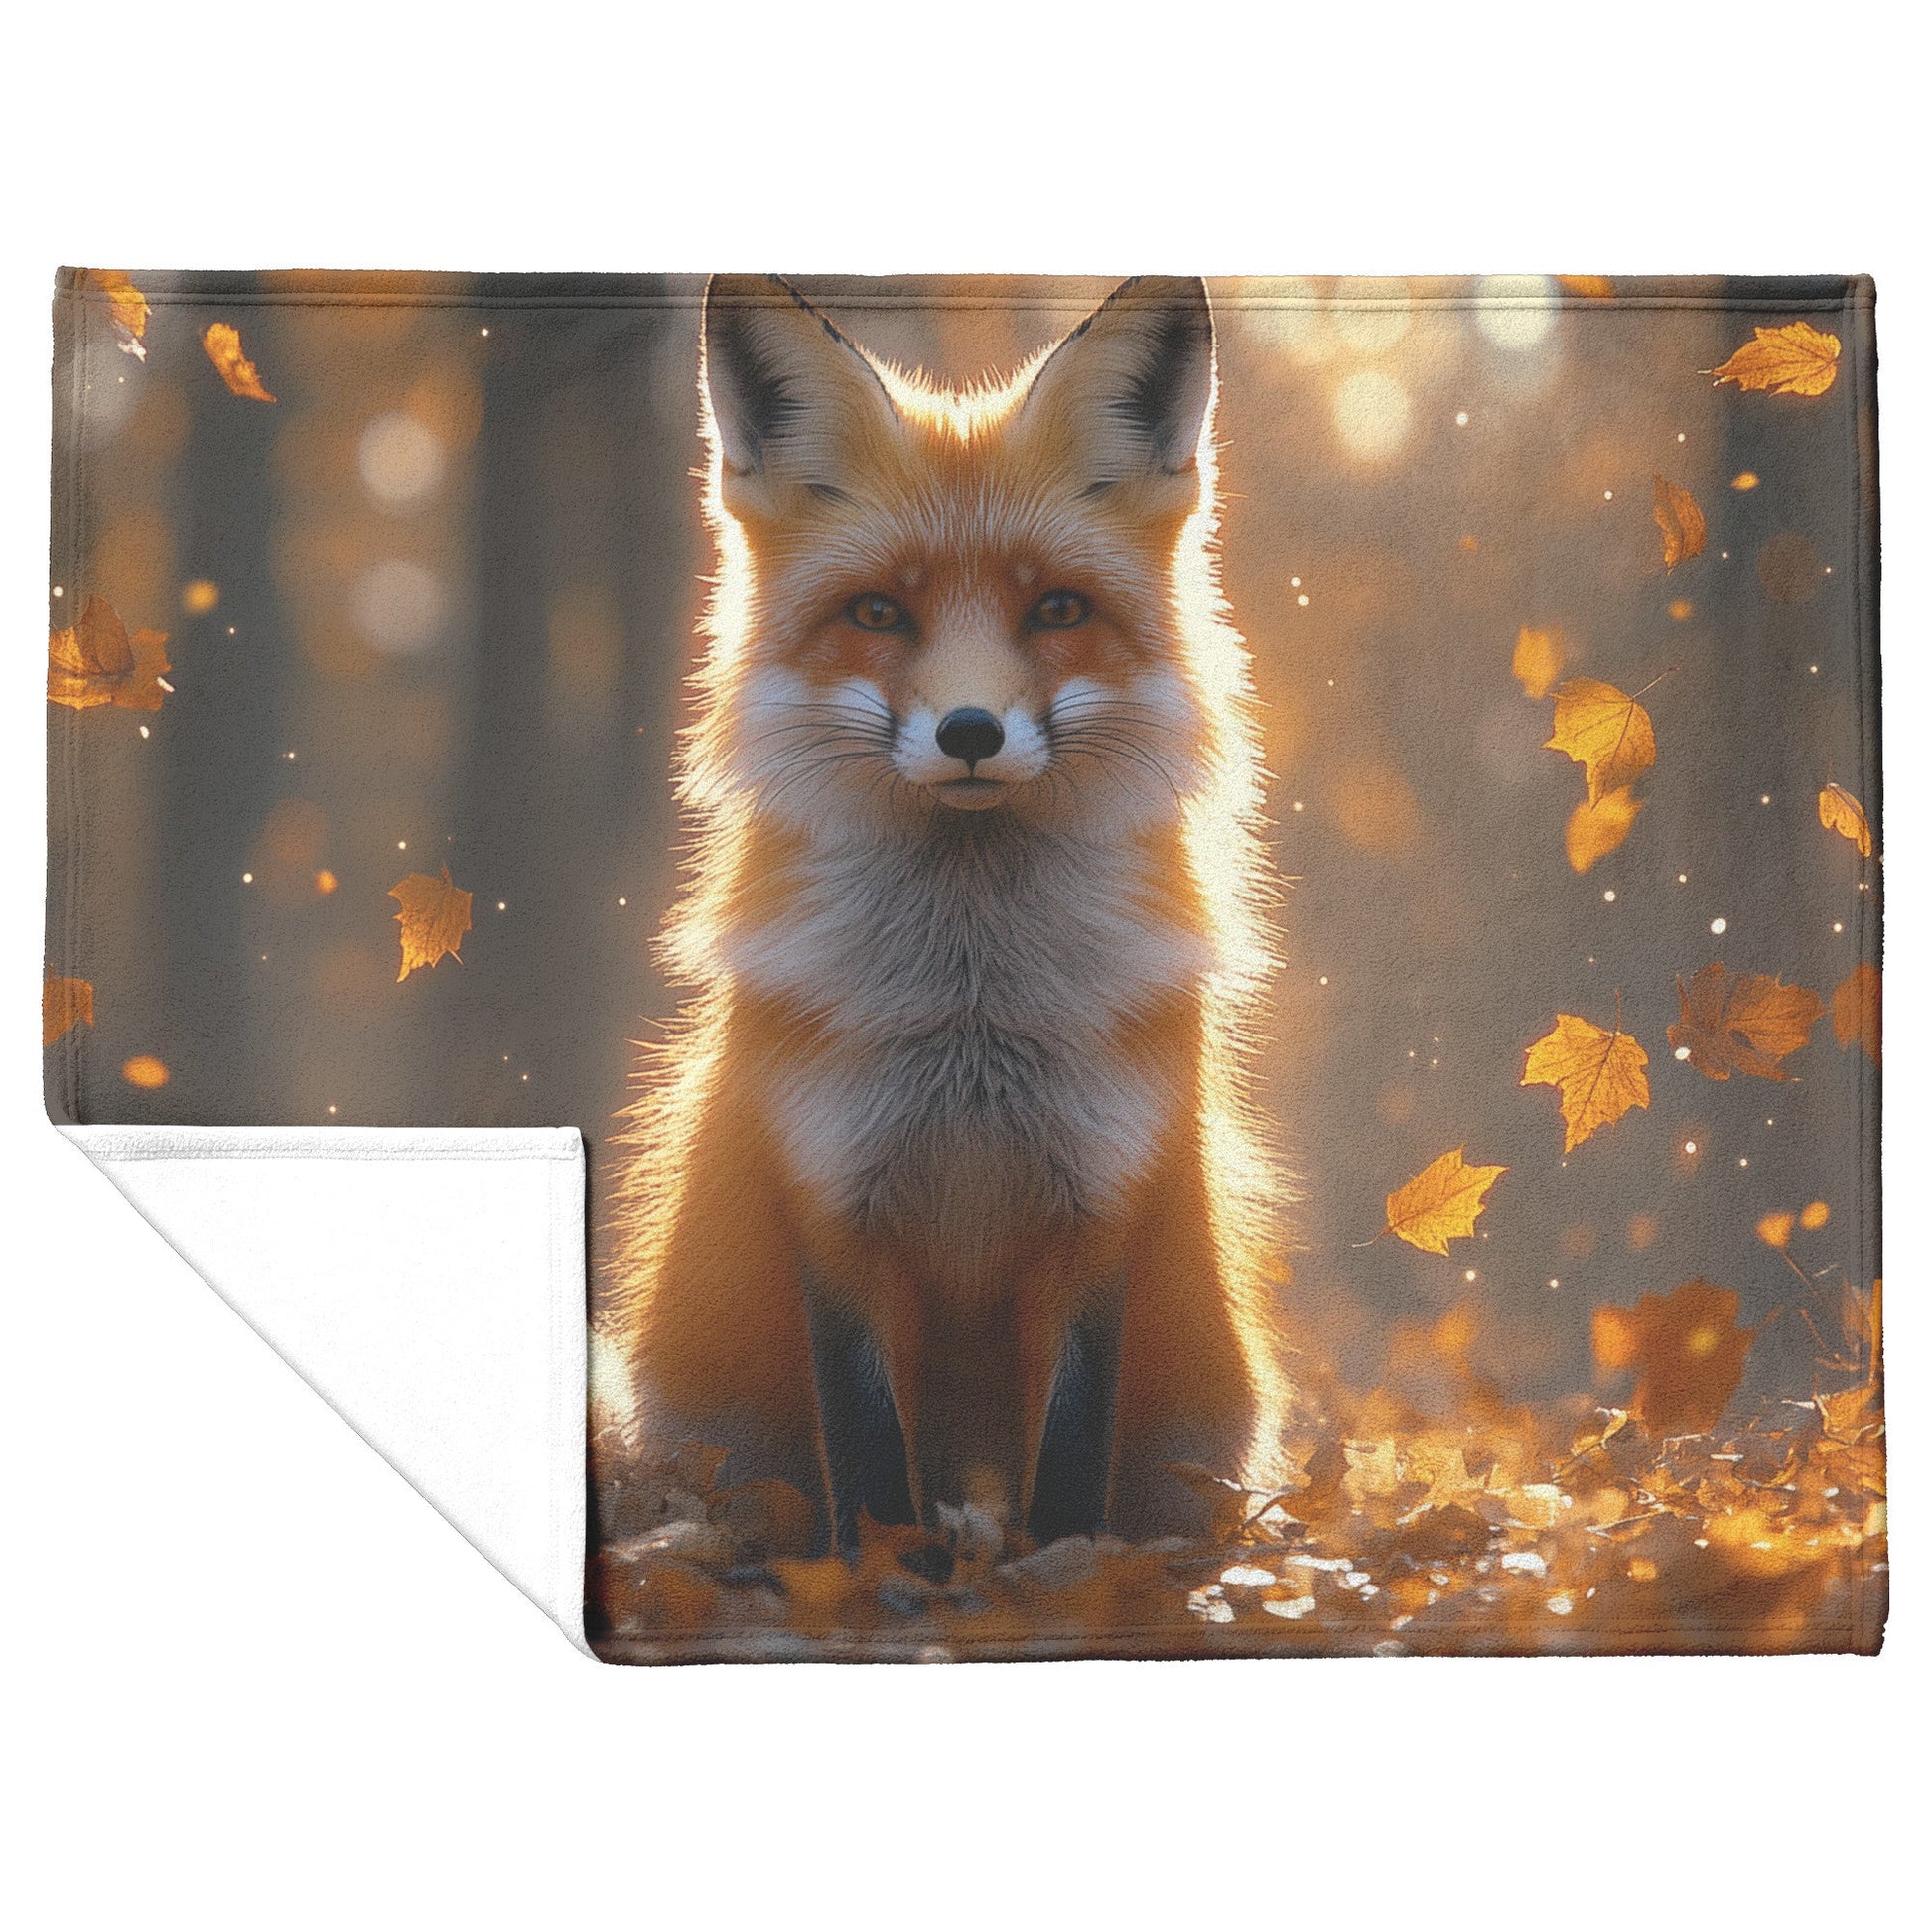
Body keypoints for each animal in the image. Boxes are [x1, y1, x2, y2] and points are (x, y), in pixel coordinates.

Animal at [599, 274, 1291, 1546]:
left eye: (1056, 608)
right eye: (878, 614)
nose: (970, 730)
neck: (970, 1013)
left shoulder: (1099, 1207)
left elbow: (1067, 1463)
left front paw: (1071, 1573)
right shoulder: (833, 1205)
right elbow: (871, 1462)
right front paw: (877, 1572)